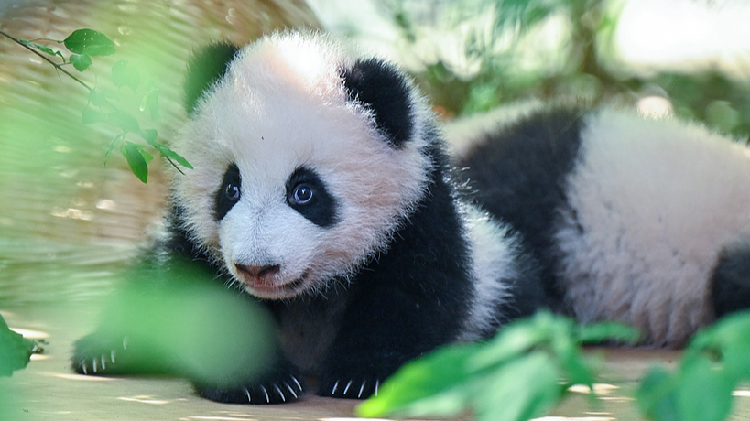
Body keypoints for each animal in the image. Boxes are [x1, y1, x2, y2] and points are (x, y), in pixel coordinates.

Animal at [71, 30, 544, 404]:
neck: (306, 295)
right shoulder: (191, 234)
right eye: (230, 188)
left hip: (497, 278)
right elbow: (202, 298)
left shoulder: (419, 212)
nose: (256, 267)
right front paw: (256, 384)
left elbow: (415, 291)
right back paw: (107, 350)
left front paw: (362, 377)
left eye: (304, 192)